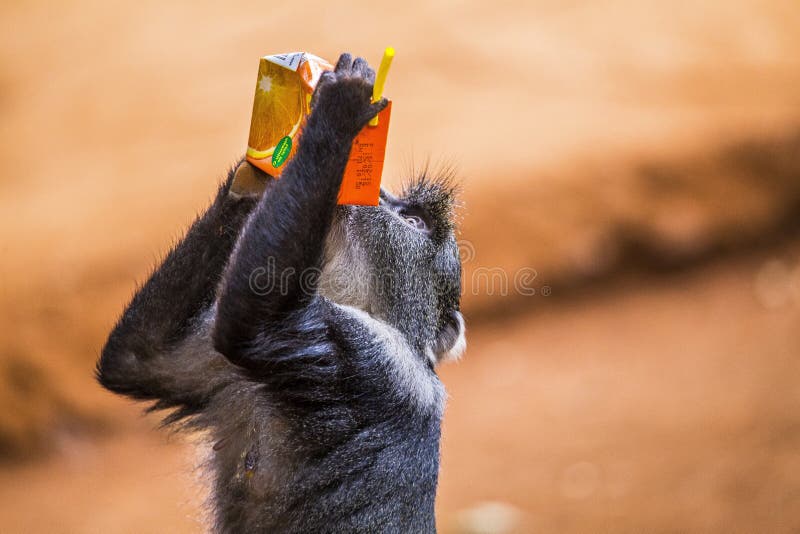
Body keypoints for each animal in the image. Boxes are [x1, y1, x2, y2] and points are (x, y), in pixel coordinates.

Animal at [96, 53, 465, 533]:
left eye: (414, 221)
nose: (379, 194)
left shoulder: (378, 359)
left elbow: (253, 326)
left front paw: (341, 105)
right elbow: (139, 360)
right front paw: (257, 169)